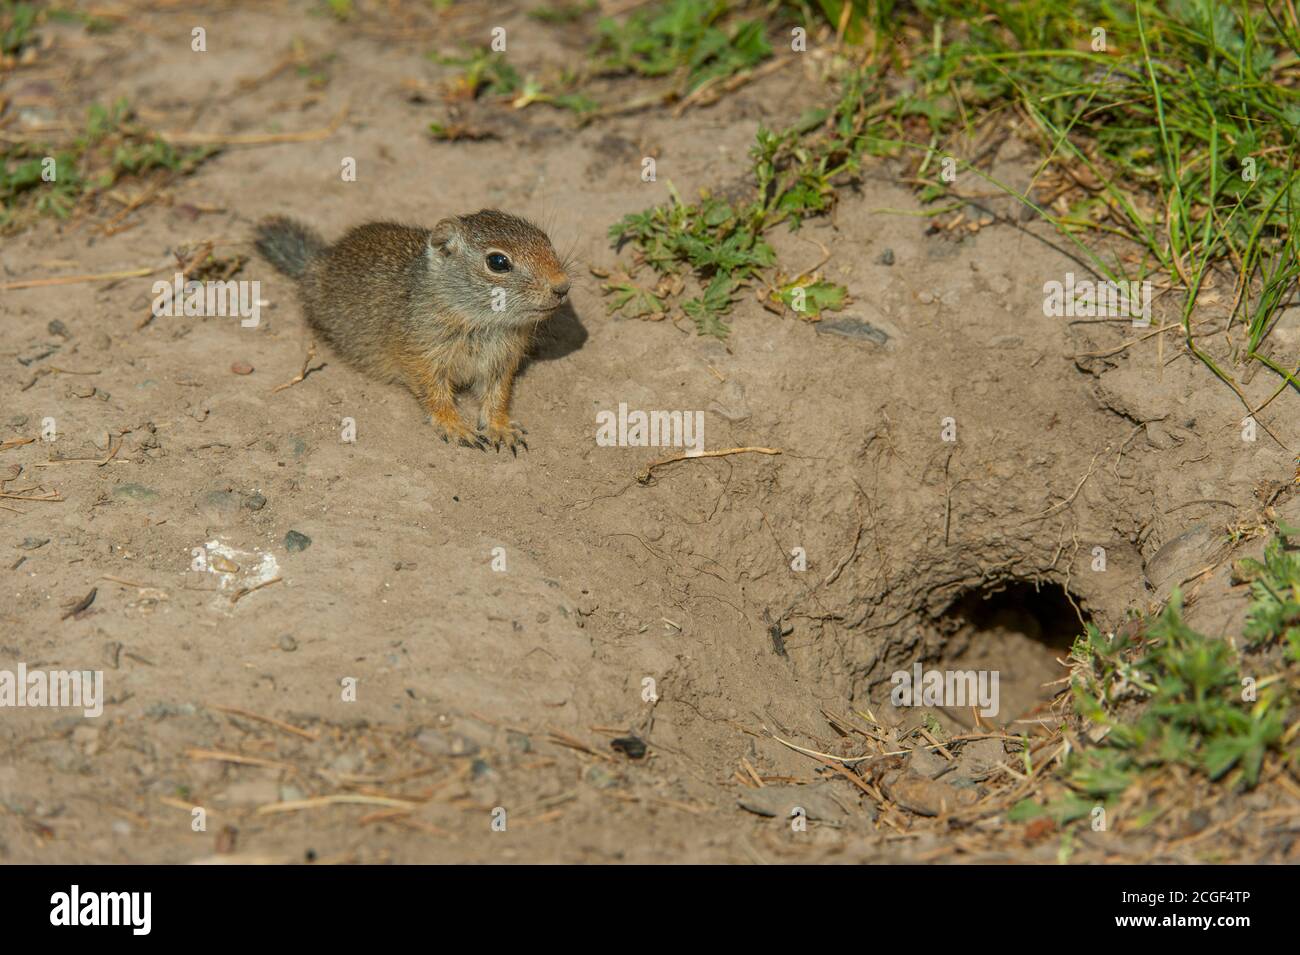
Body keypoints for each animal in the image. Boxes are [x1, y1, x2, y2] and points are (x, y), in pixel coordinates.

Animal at [253, 210, 570, 453]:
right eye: (498, 262)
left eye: (546, 240)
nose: (563, 287)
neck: (483, 323)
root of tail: (316, 260)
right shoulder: (420, 357)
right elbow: (435, 394)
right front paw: (455, 426)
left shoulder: (501, 365)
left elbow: (497, 397)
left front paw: (501, 427)